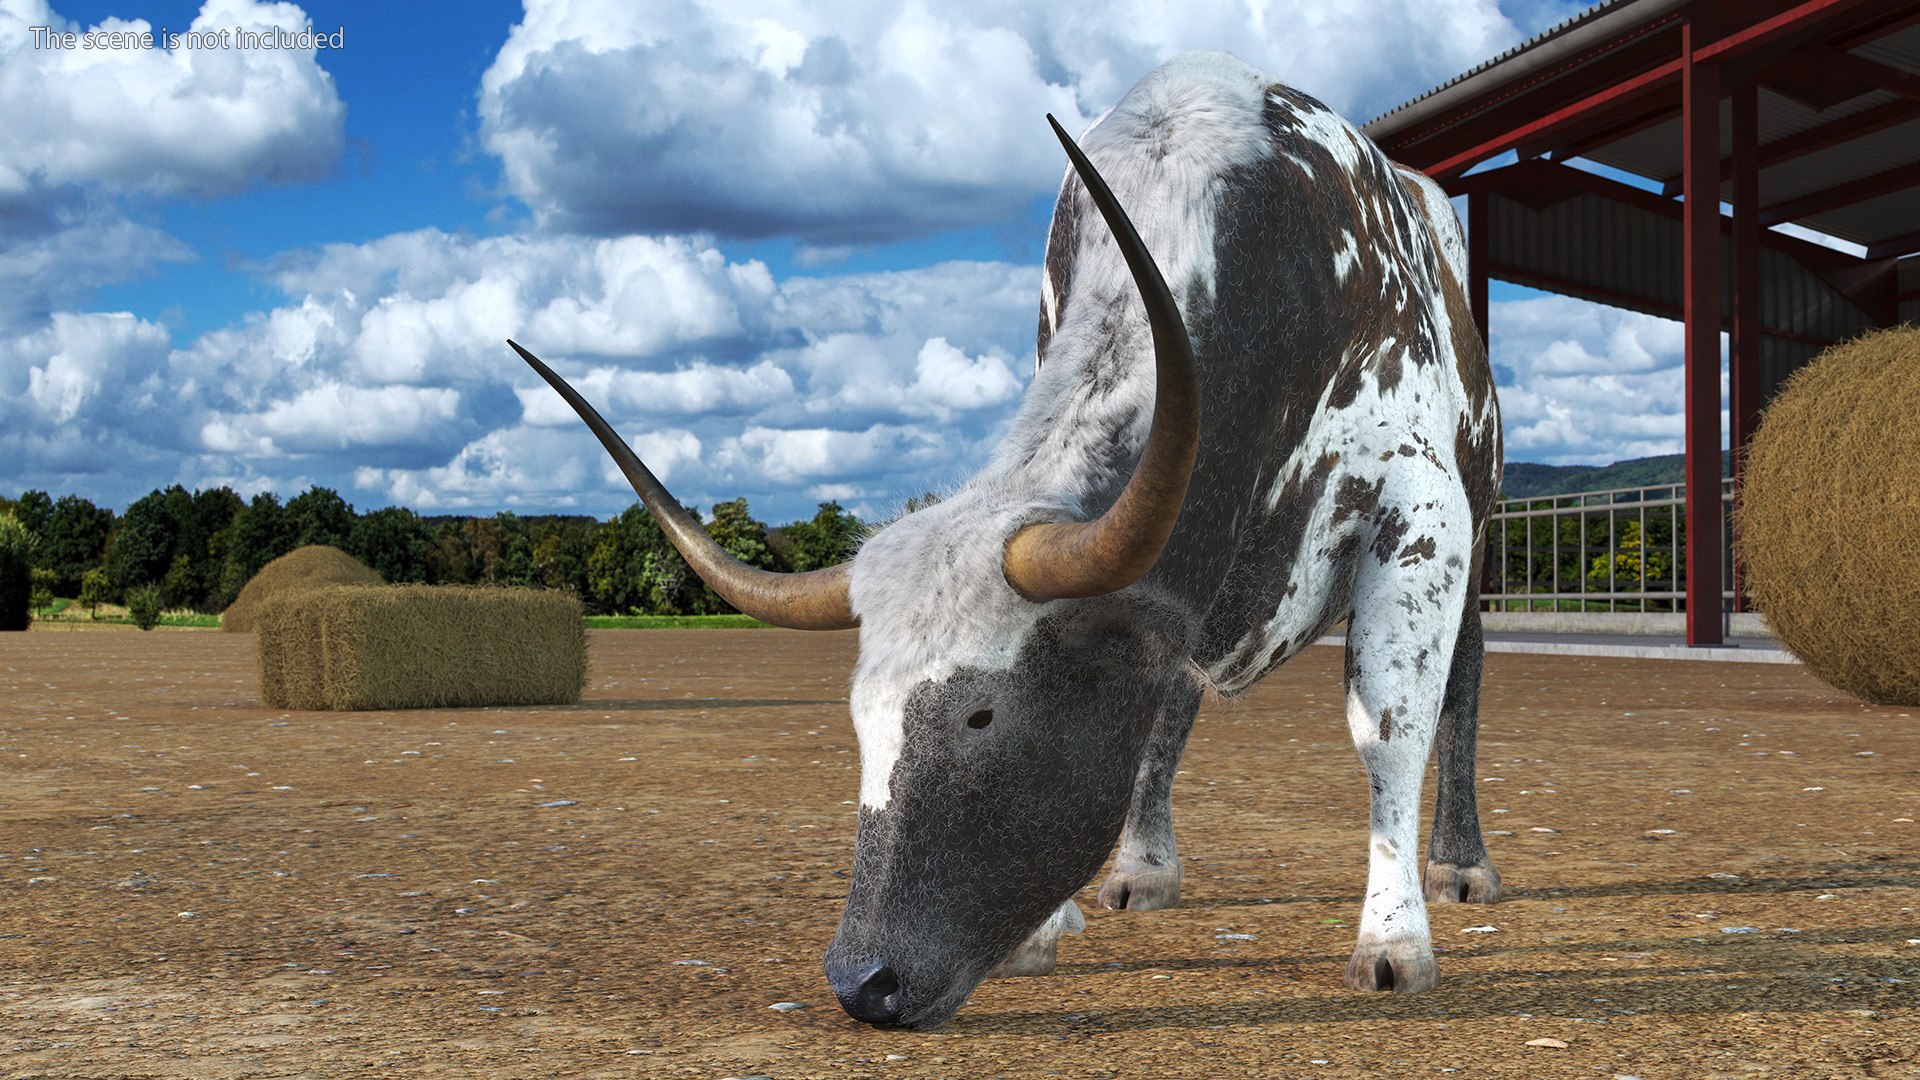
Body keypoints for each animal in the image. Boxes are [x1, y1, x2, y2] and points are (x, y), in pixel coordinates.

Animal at [509, 49, 1502, 1031]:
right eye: (858, 717)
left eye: (983, 714)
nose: (862, 982)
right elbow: (1155, 707)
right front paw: (1044, 928)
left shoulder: (1418, 511)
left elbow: (1388, 726)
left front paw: (1393, 939)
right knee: (1172, 705)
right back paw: (1142, 866)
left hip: (1478, 523)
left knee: (1463, 677)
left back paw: (1461, 861)